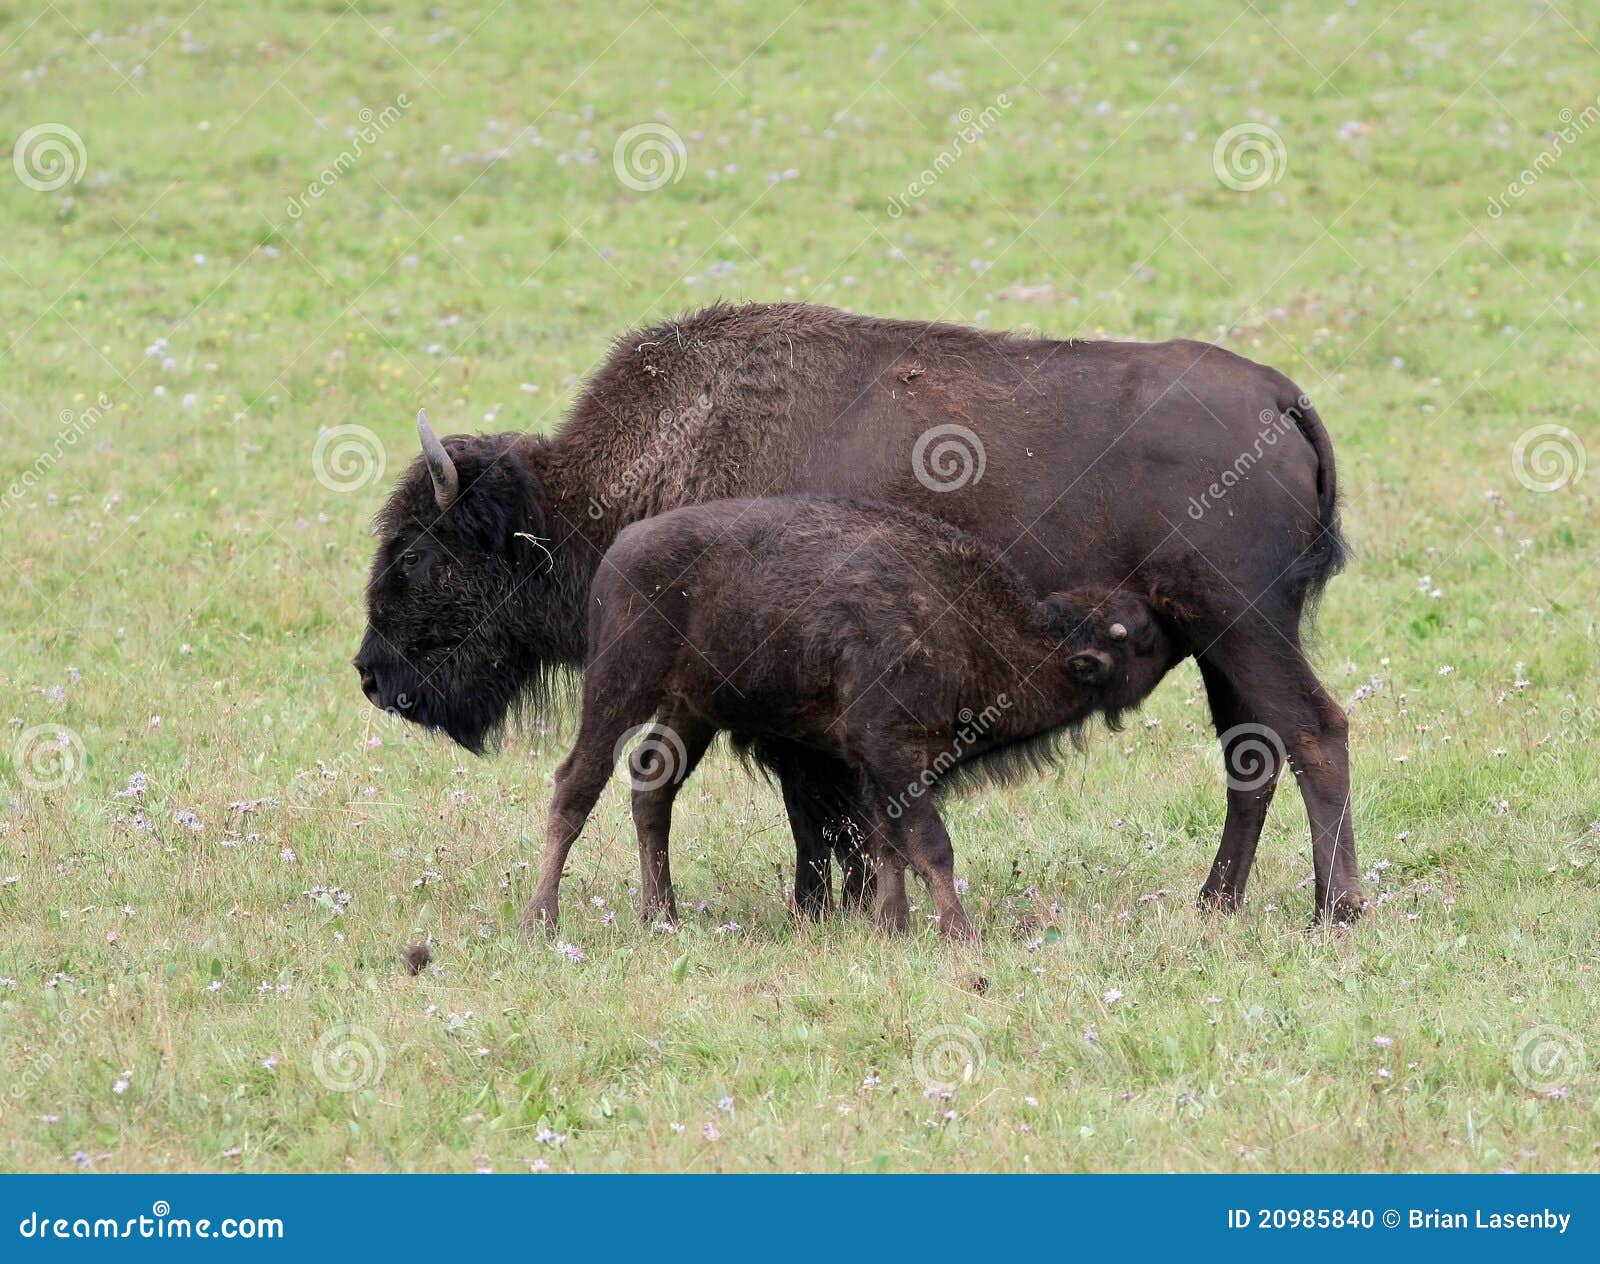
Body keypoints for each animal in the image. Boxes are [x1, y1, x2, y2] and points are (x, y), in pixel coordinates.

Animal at [355, 302, 1358, 922]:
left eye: (418, 556)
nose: (371, 674)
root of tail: (1282, 399)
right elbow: (832, 812)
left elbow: (818, 811)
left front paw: (818, 907)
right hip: (1222, 644)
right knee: (1252, 754)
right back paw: (1216, 904)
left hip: (1245, 627)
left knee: (1313, 732)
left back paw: (1334, 913)